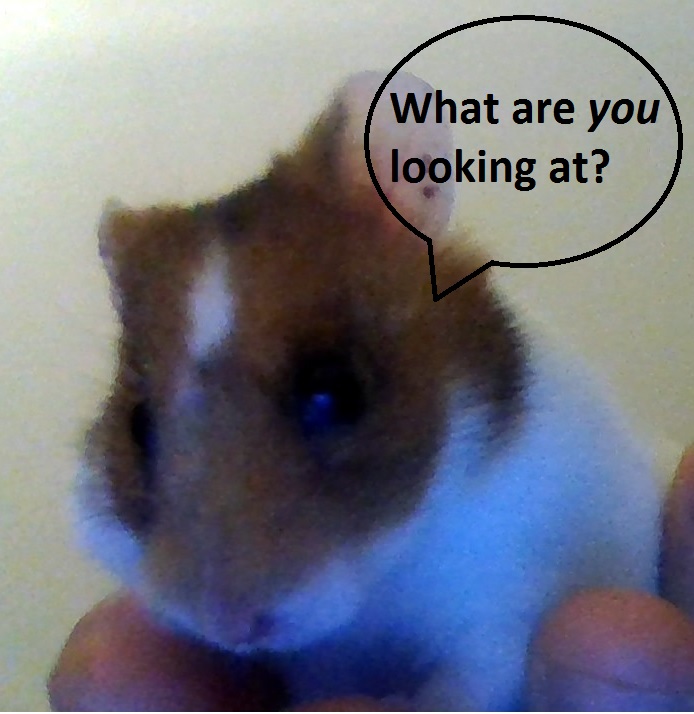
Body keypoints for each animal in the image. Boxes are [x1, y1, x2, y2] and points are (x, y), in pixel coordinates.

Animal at [76, 72, 662, 710]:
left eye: (334, 392)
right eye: (139, 425)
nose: (230, 625)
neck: (380, 580)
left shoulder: (498, 609)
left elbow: (469, 683)